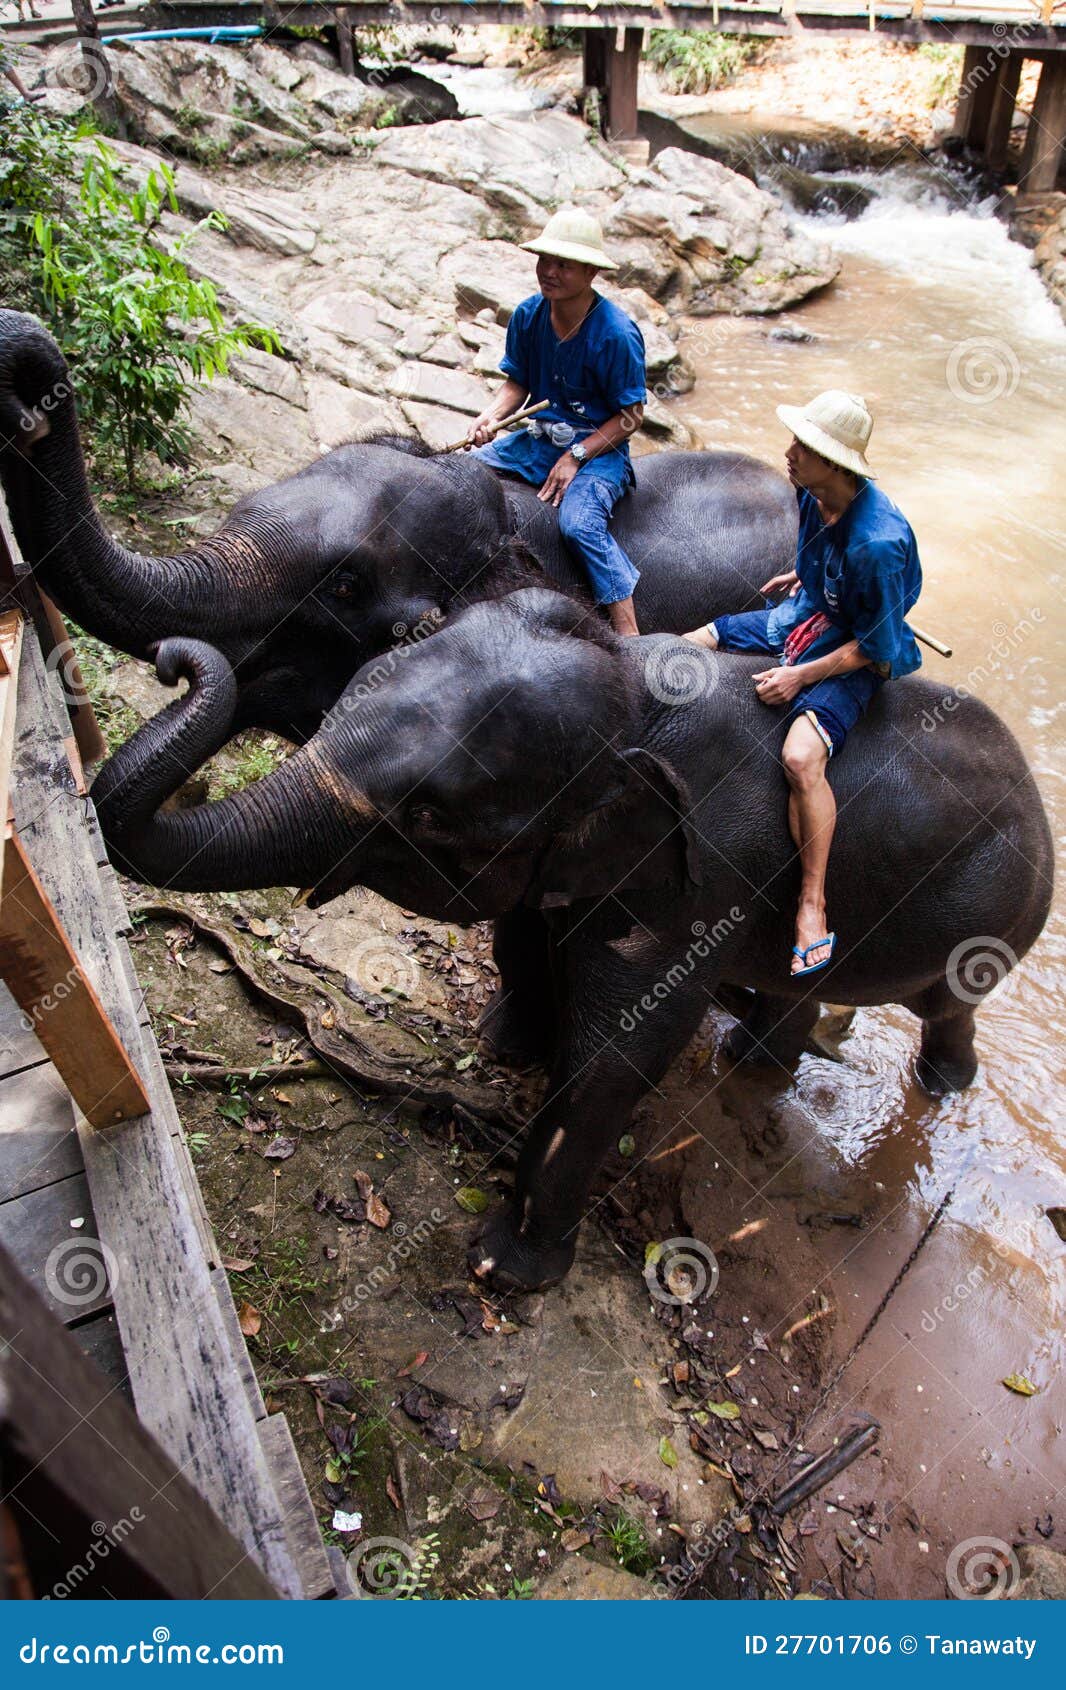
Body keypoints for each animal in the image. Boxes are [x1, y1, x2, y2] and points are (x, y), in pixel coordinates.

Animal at [92, 588, 1053, 1293]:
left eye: (427, 816)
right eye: (331, 715)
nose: (175, 659)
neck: (632, 688)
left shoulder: (708, 871)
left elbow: (624, 1048)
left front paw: (504, 1268)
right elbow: (521, 933)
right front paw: (507, 1044)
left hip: (992, 916)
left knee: (945, 1001)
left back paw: (939, 1080)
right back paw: (754, 1061)